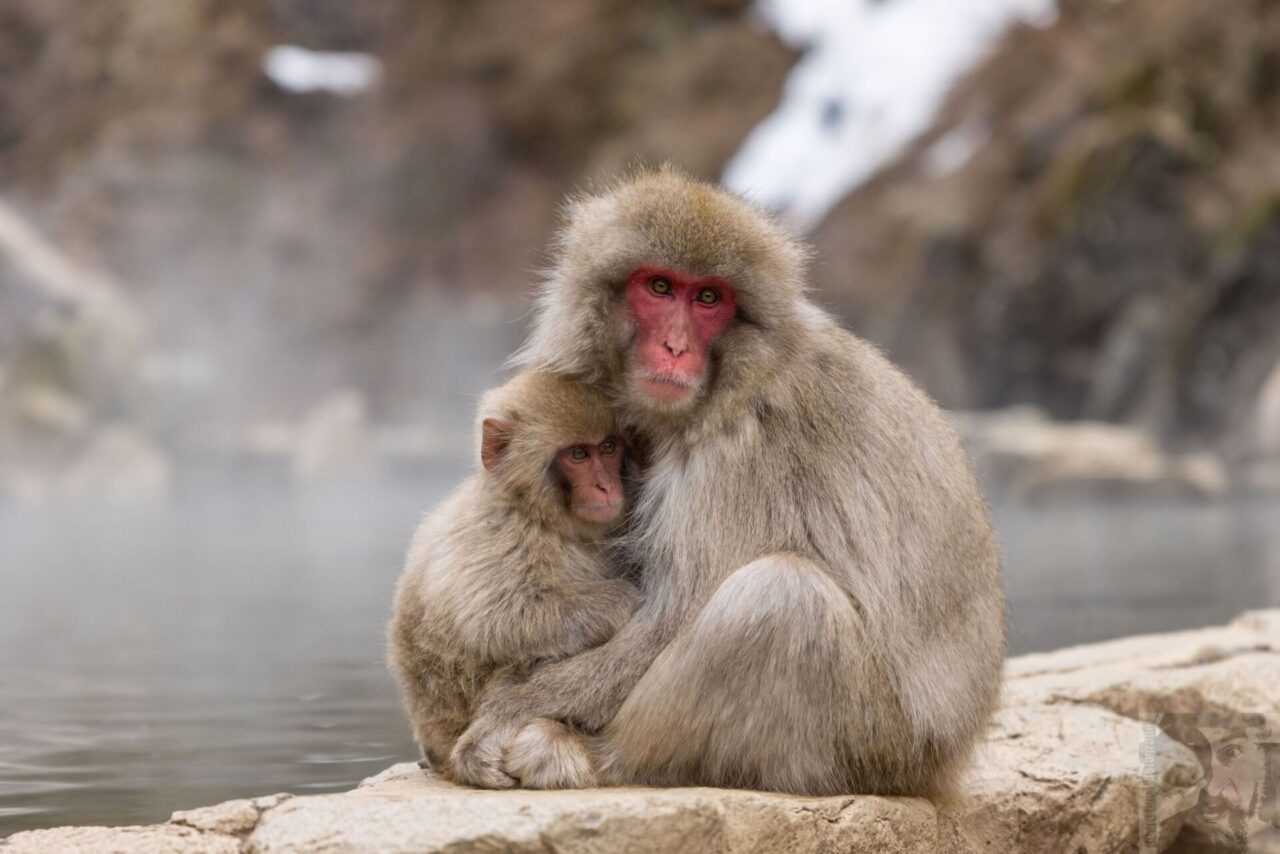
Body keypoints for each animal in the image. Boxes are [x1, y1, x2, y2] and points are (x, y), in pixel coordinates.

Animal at [387, 369, 638, 788]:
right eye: (578, 455)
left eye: (607, 447)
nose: (607, 486)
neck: (539, 514)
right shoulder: (500, 532)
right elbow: (499, 619)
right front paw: (623, 600)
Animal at [448, 166, 1006, 798]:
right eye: (659, 288)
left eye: (709, 299)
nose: (675, 348)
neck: (728, 387)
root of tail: (943, 766)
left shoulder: (740, 456)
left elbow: (674, 618)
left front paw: (506, 709)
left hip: (872, 748)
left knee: (783, 598)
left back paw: (593, 757)